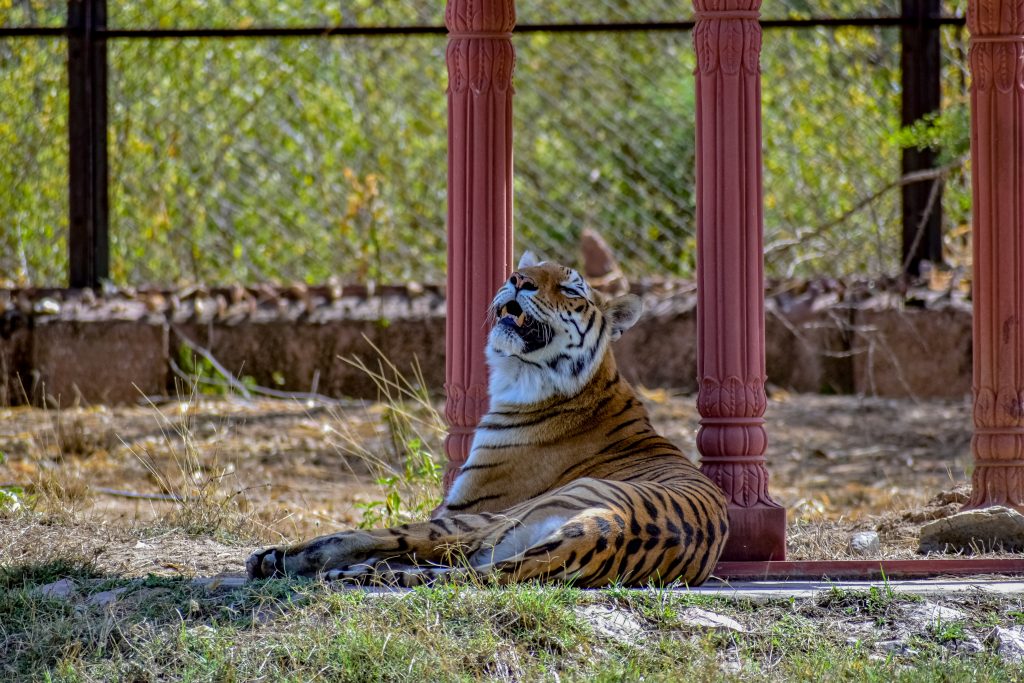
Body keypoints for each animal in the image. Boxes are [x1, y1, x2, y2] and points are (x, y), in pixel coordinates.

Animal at [246, 252, 729, 587]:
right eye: (526, 270)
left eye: (571, 289)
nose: (518, 280)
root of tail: (606, 532)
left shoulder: (464, 504)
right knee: (436, 570)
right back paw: (356, 574)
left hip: (487, 520)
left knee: (373, 539)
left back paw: (278, 560)